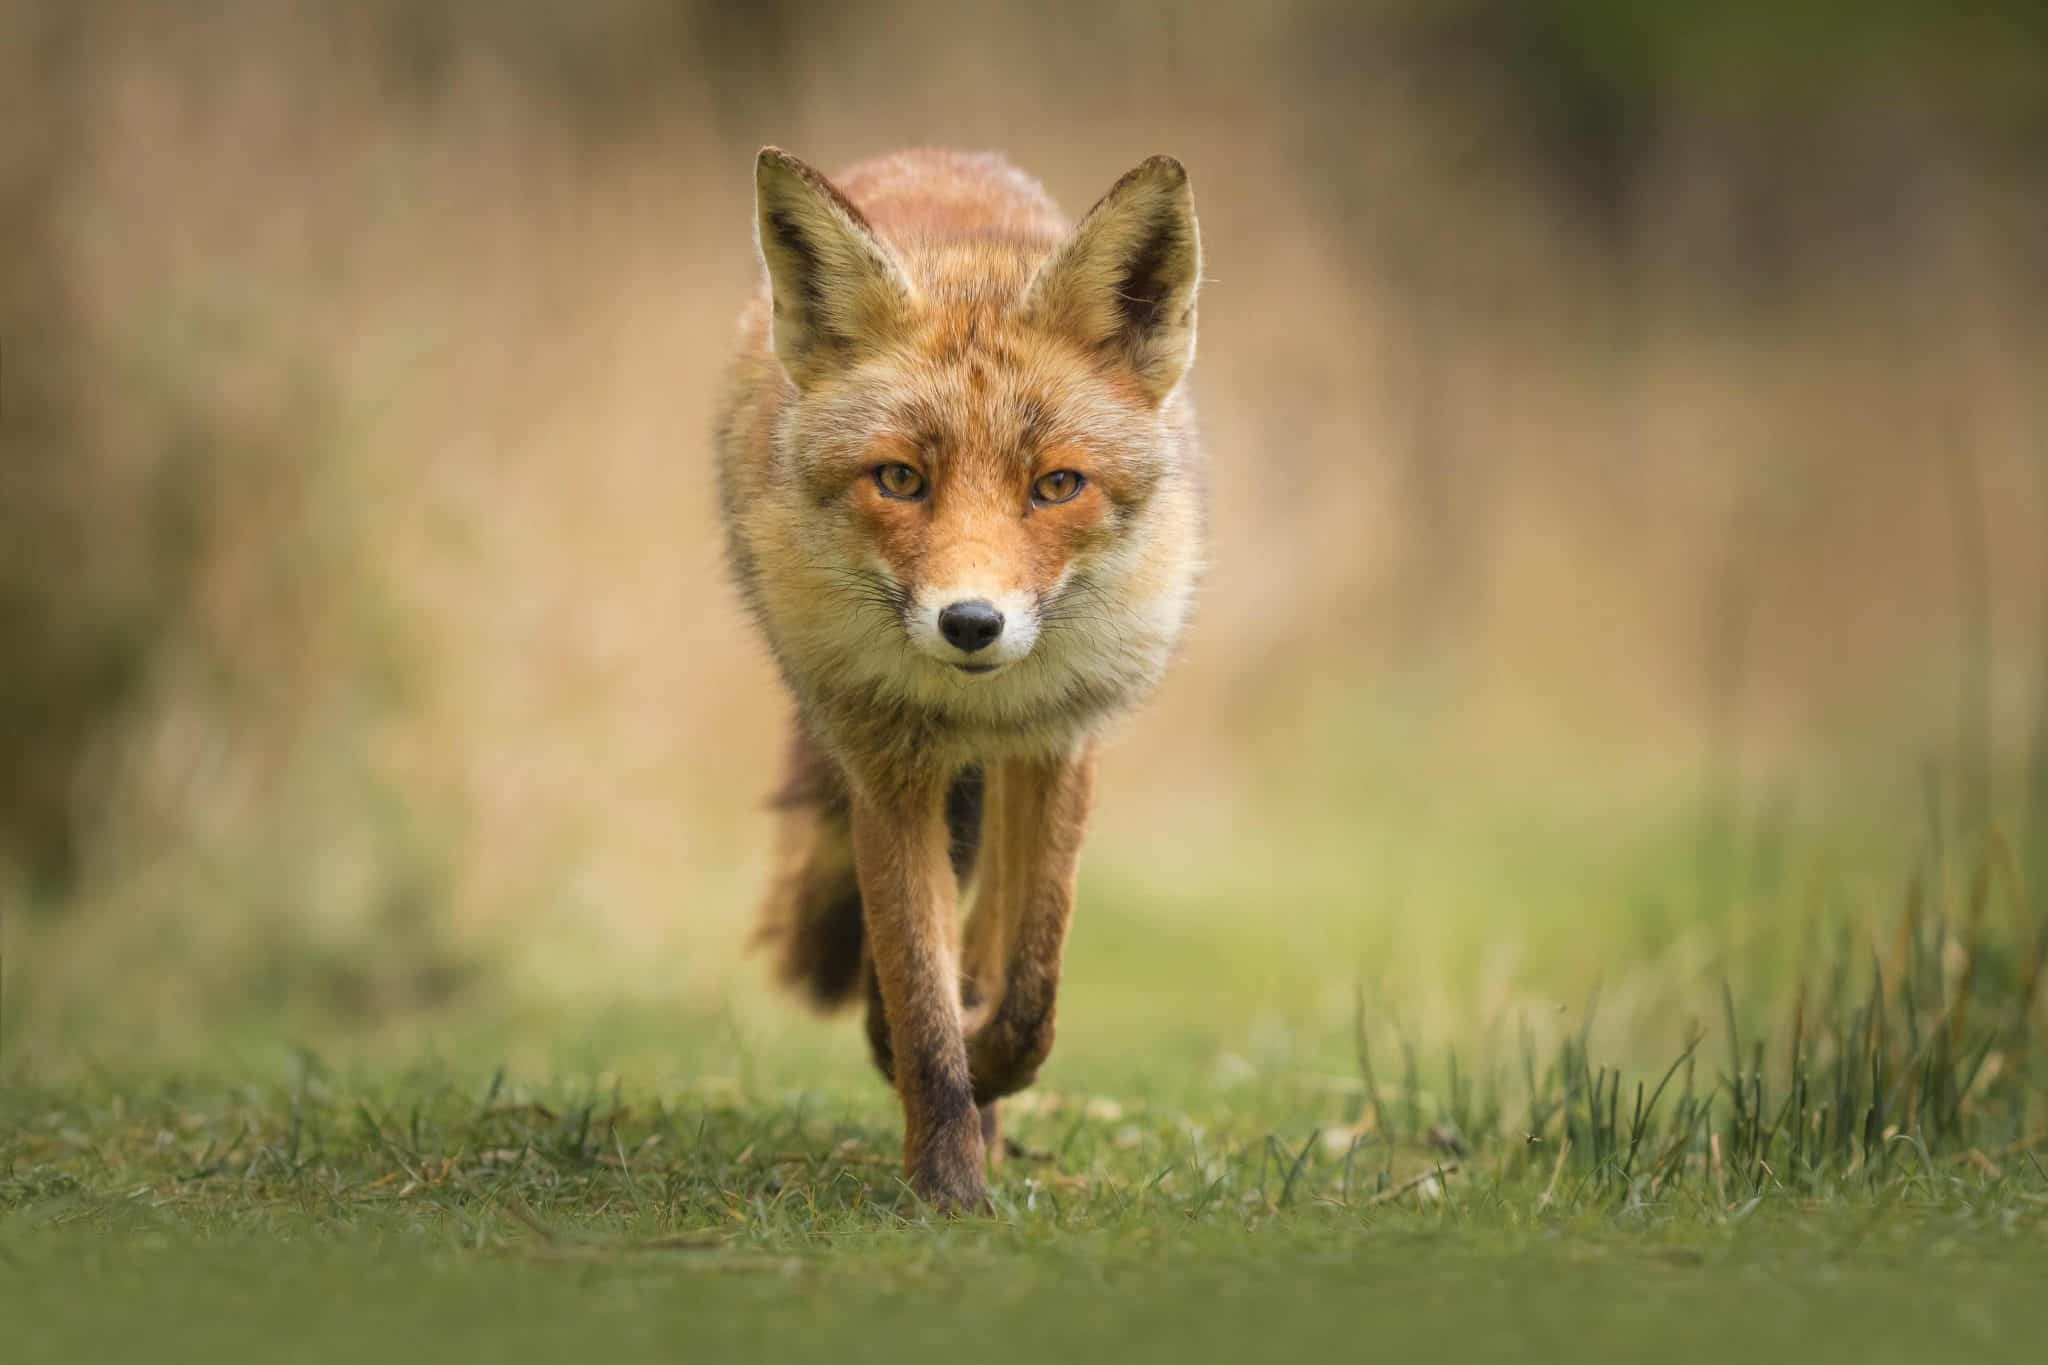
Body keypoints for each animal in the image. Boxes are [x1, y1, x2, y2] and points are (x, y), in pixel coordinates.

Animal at [715, 146, 1204, 1211]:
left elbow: (1026, 987)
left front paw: (987, 1082)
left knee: (988, 944)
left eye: (1057, 485)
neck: (972, 702)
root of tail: (935, 158)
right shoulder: (886, 762)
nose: (971, 623)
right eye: (900, 479)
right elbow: (917, 987)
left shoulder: (1060, 743)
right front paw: (946, 1184)